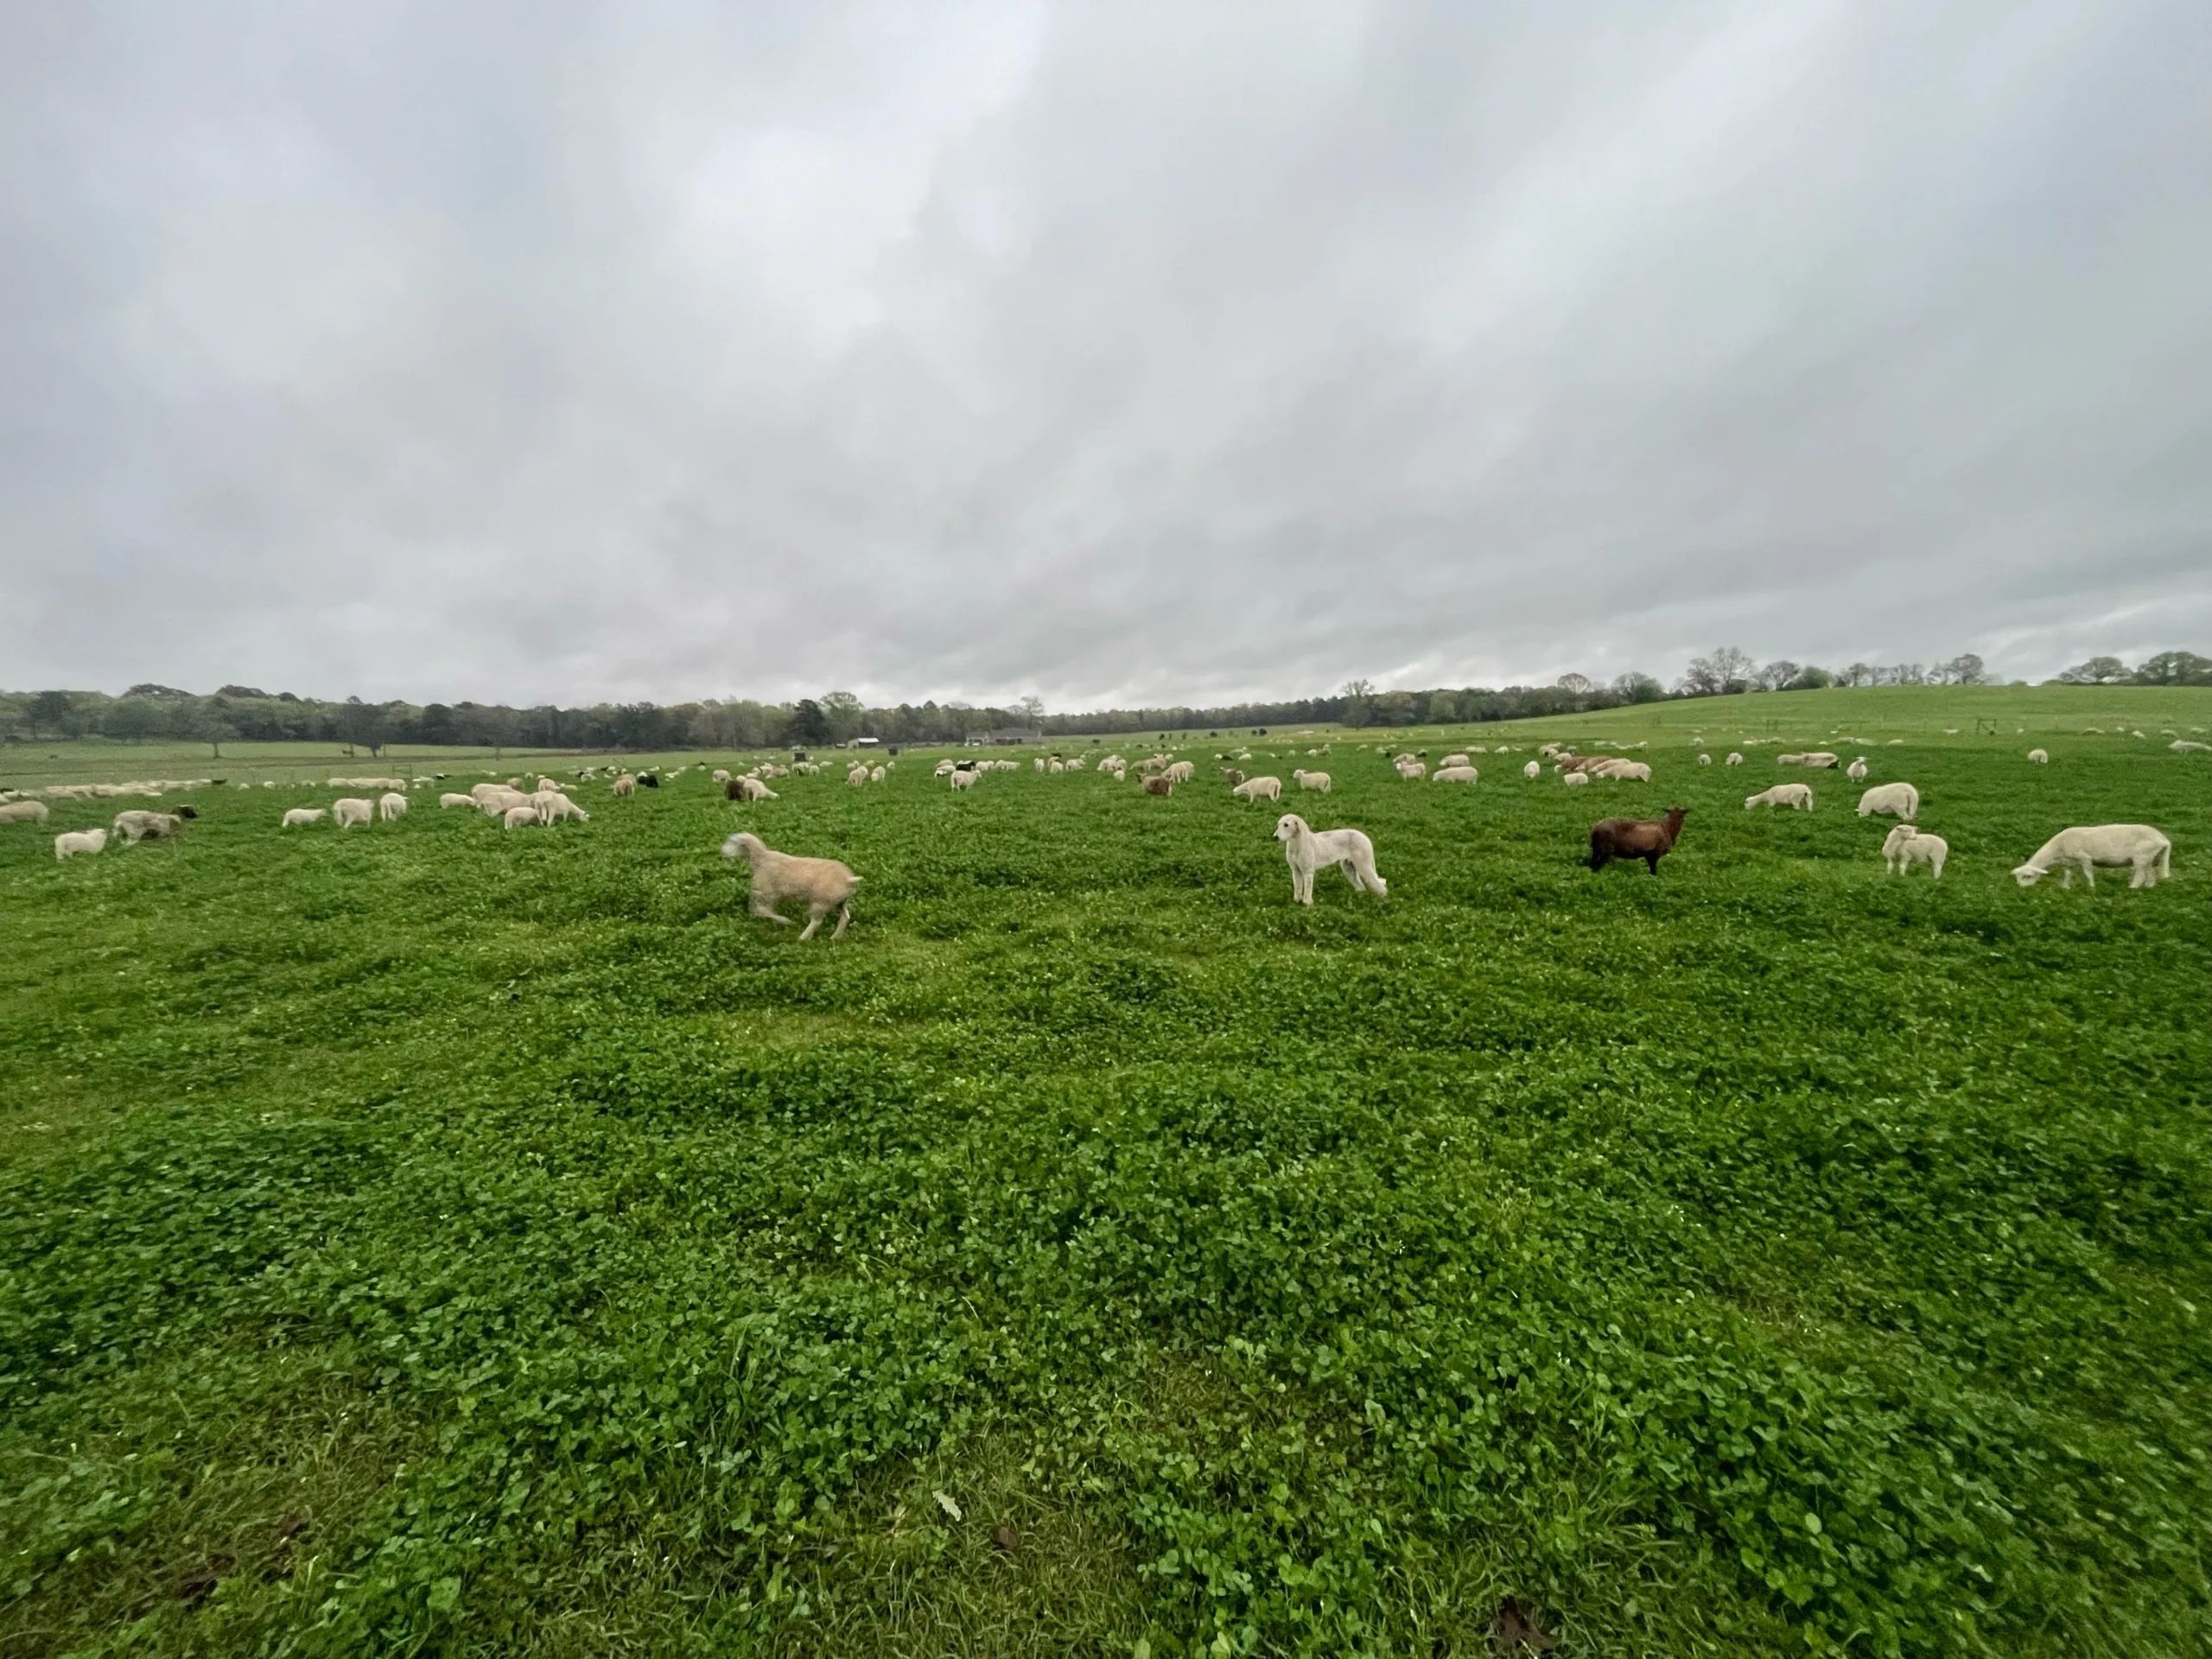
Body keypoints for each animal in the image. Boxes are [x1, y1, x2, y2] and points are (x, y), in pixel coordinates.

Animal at [720, 831, 860, 939]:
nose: (722, 852)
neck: (761, 860)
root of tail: (848, 879)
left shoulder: (767, 893)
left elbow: (762, 910)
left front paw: (785, 921)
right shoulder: (769, 895)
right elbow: (761, 909)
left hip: (821, 902)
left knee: (817, 921)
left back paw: (802, 938)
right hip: (840, 902)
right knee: (845, 917)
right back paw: (834, 937)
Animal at [1273, 813, 1387, 904]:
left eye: (1286, 825)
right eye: (1278, 825)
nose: (1275, 837)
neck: (1296, 844)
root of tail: (1366, 838)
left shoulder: (1308, 872)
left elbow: (1307, 889)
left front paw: (1307, 903)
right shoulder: (1296, 870)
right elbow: (1297, 886)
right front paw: (1297, 901)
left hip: (1363, 865)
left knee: (1381, 888)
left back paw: (1383, 901)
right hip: (1348, 867)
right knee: (1361, 887)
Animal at [2012, 825, 2171, 890]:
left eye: (2027, 876)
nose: (2022, 889)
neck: (2057, 849)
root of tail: (2163, 839)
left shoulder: (2085, 858)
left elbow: (2088, 874)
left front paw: (2092, 888)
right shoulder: (2068, 863)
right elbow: (2067, 875)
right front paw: (2065, 888)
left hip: (2141, 857)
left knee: (2140, 875)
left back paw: (2132, 888)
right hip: (2149, 858)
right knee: (2150, 875)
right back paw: (2148, 888)